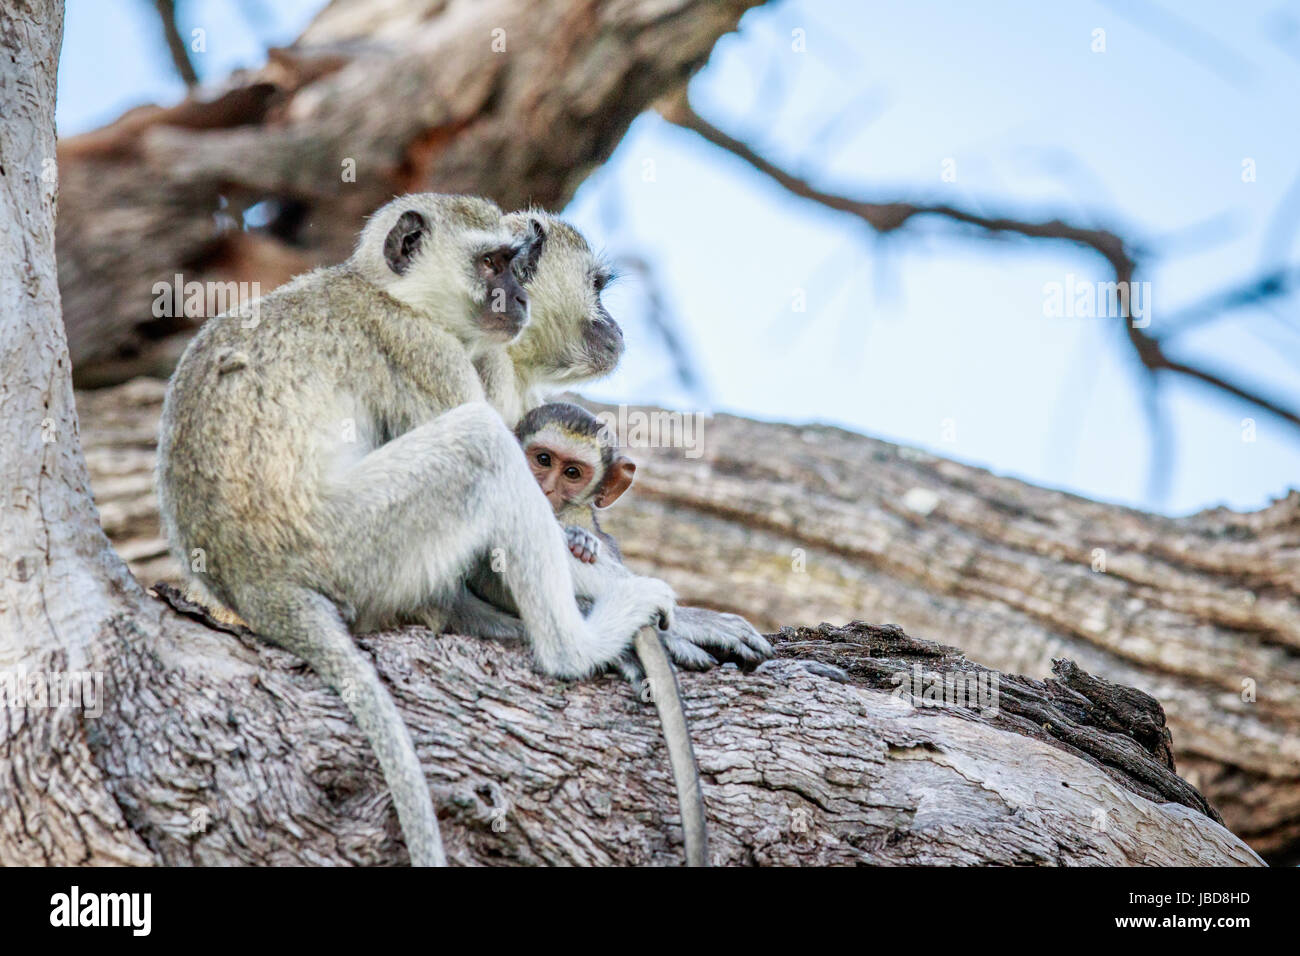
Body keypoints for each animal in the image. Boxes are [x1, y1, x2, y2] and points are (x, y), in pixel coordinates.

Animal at [157, 193, 677, 867]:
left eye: (515, 264)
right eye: (493, 264)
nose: (518, 298)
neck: (387, 293)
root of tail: (254, 581)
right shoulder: (429, 352)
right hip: (349, 543)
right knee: (480, 444)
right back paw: (575, 646)